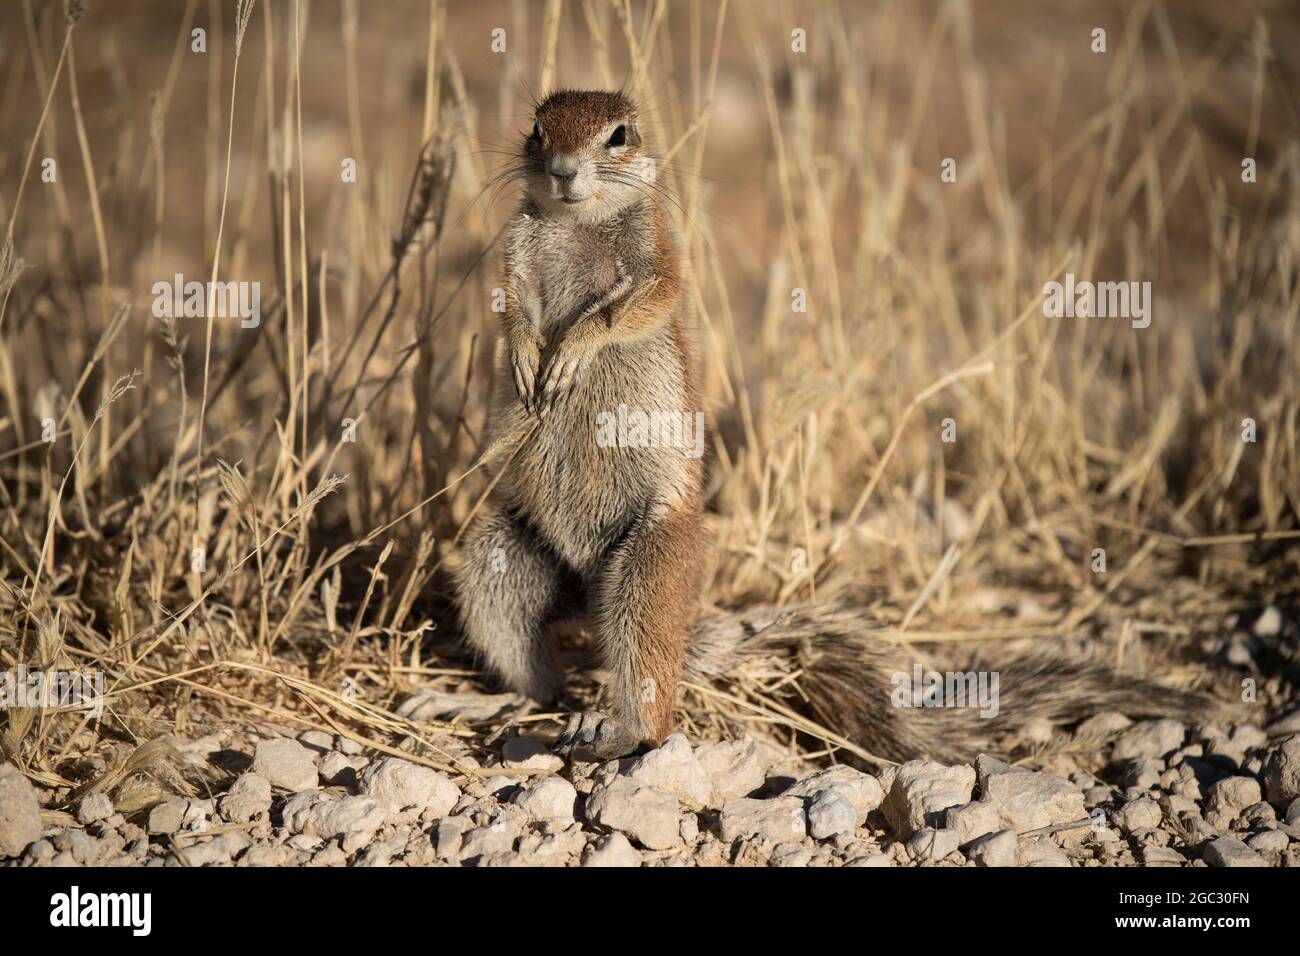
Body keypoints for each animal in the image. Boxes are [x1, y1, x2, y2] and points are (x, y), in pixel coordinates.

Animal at [454, 90, 1216, 765]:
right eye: (537, 130)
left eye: (619, 135)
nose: (562, 170)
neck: (576, 220)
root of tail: (587, 592)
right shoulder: (516, 251)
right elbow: (510, 305)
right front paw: (525, 354)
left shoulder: (660, 263)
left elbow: (631, 307)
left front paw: (572, 349)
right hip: (498, 559)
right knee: (527, 651)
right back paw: (522, 704)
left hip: (647, 569)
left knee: (652, 699)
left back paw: (613, 735)